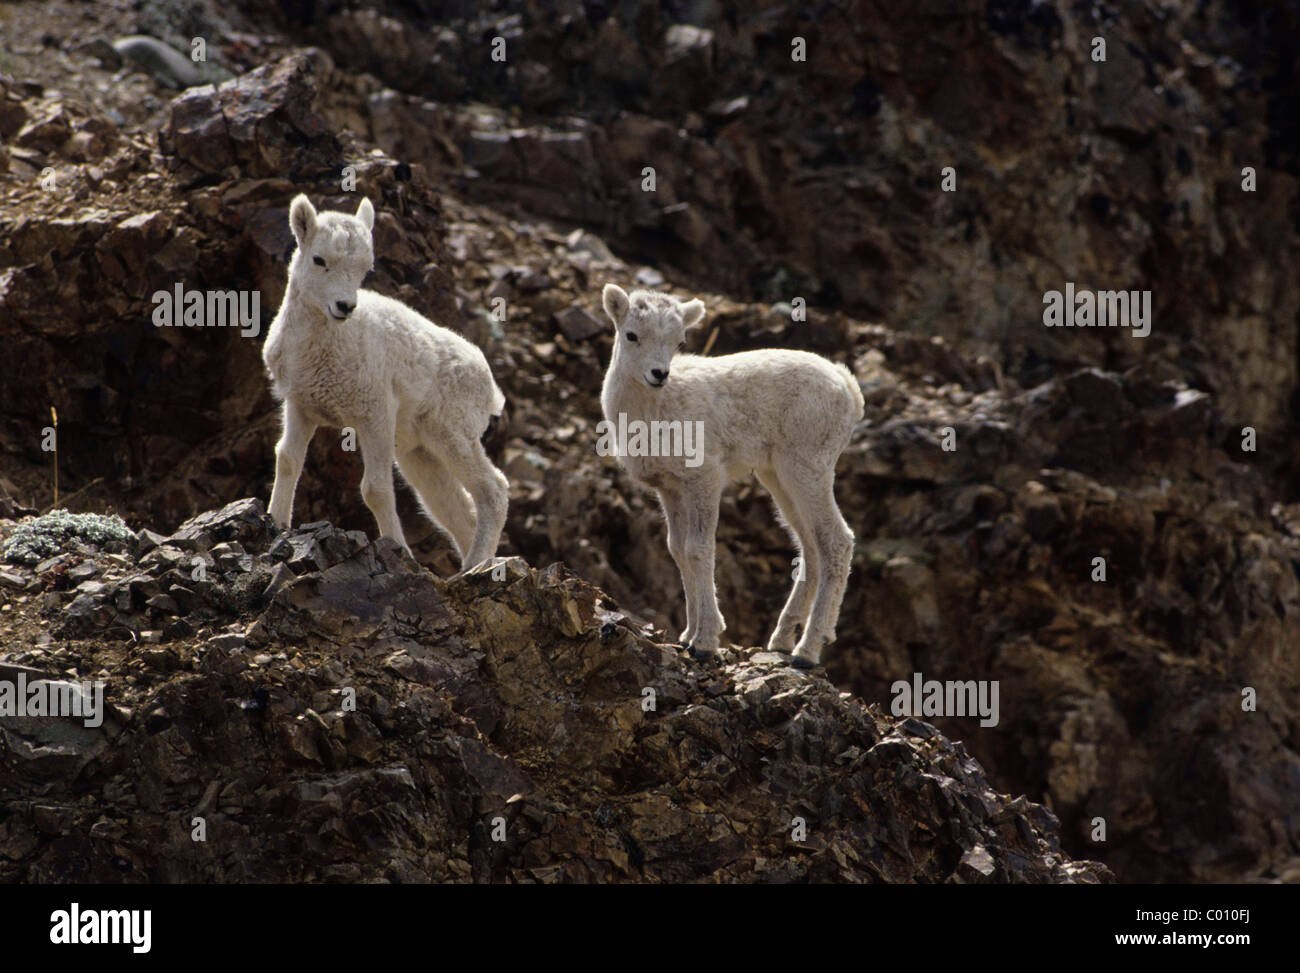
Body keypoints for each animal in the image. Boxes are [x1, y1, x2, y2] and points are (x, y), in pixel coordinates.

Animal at [262, 194, 509, 572]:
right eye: (319, 259)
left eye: (365, 267)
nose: (344, 306)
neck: (322, 348)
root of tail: (489, 386)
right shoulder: (300, 407)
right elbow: (287, 459)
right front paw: (276, 523)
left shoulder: (375, 416)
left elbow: (375, 489)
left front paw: (398, 551)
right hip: (421, 455)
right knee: (460, 510)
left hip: (452, 436)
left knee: (493, 490)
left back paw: (475, 567)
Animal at [599, 283, 864, 668]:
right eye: (631, 334)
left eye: (680, 340)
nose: (659, 374)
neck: (652, 414)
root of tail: (848, 387)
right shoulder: (670, 489)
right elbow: (677, 550)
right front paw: (686, 635)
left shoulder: (705, 479)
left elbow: (699, 549)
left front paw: (705, 641)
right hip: (777, 476)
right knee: (810, 547)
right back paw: (782, 639)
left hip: (807, 468)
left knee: (836, 541)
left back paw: (807, 651)